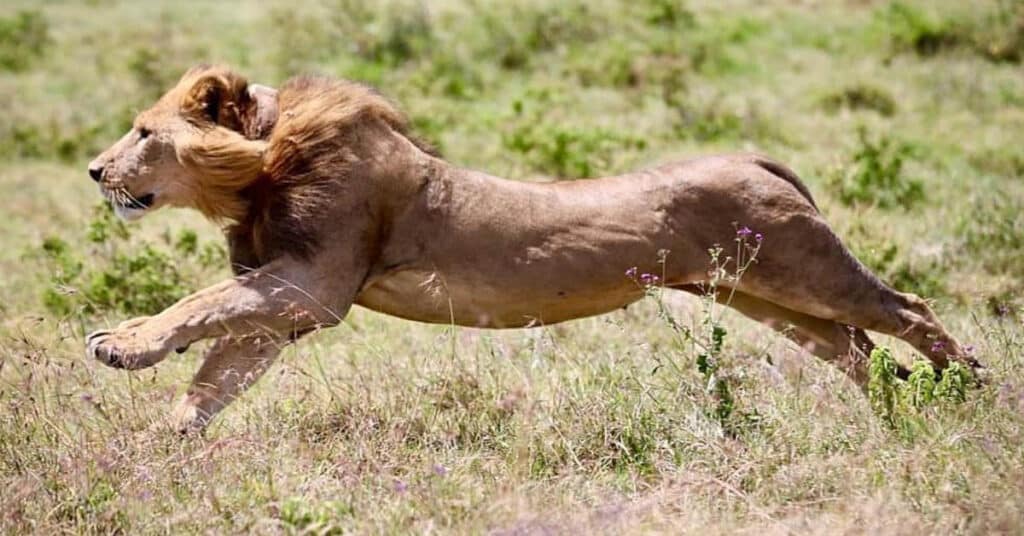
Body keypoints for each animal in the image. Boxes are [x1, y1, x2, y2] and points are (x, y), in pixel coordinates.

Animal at [85, 65, 981, 433]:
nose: (95, 170)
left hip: (803, 270)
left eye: (143, 133)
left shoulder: (313, 284)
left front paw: (118, 345)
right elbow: (214, 375)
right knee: (858, 349)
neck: (262, 166)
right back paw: (892, 413)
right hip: (763, 295)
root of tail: (754, 160)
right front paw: (165, 448)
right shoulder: (289, 306)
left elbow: (196, 306)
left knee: (908, 309)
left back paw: (969, 390)